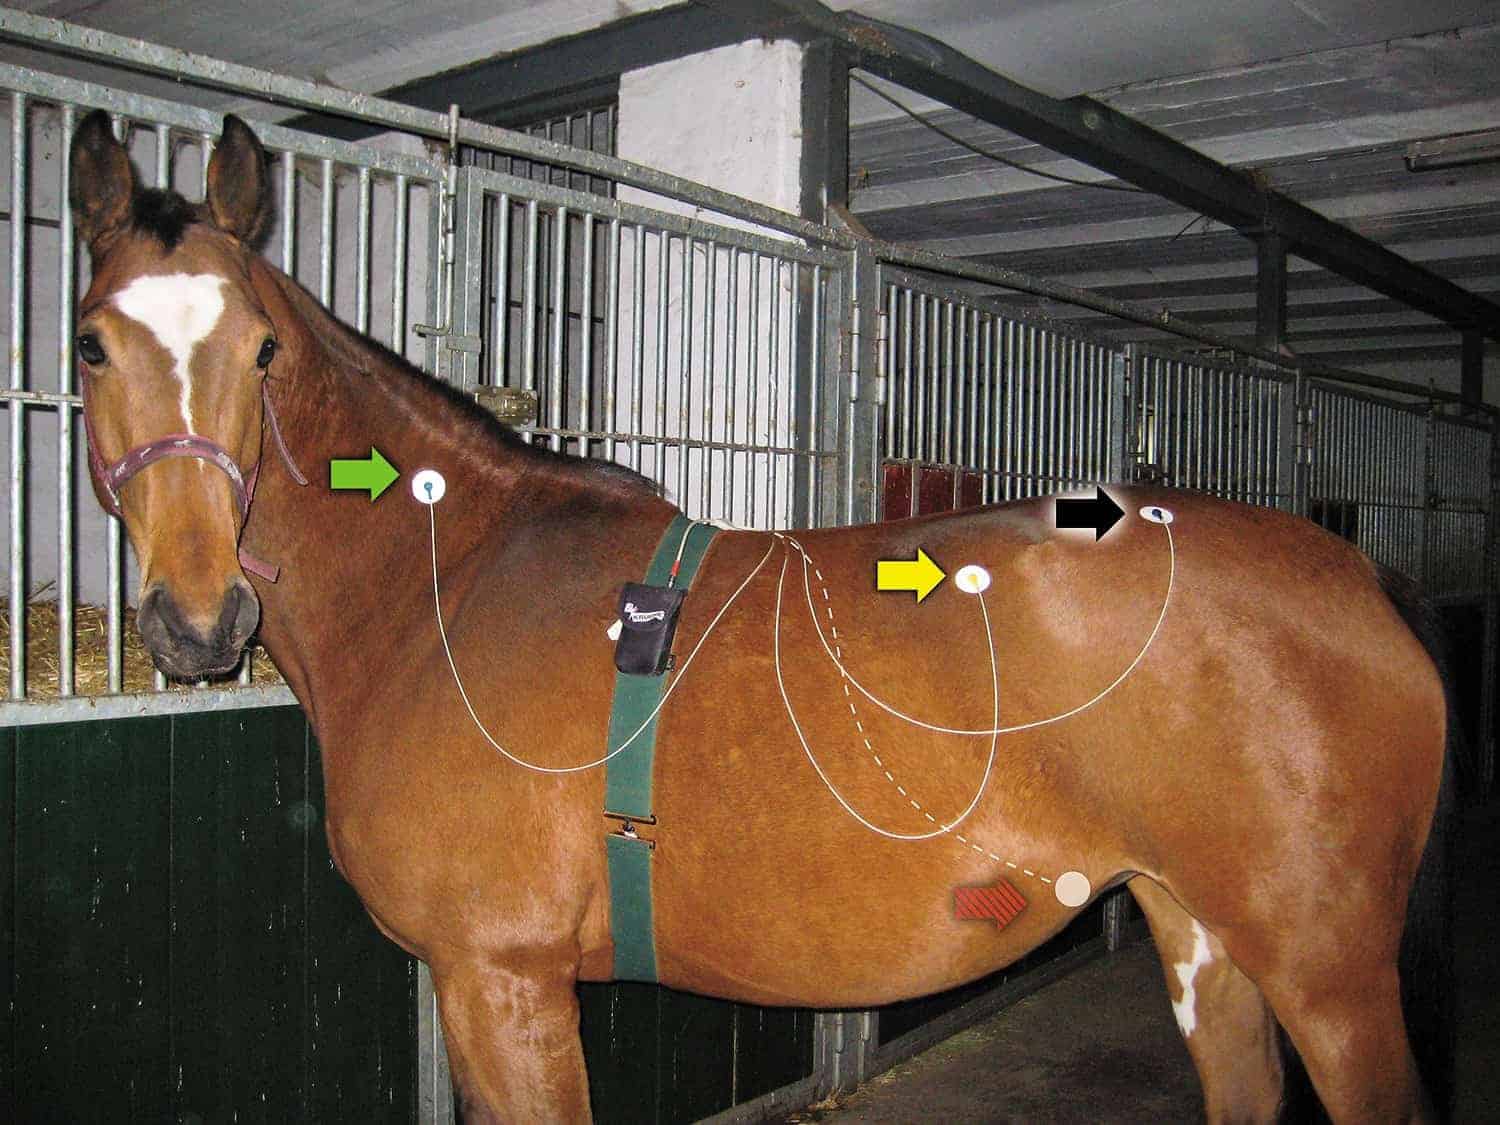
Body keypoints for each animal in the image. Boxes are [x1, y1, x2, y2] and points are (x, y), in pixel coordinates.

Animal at [67, 110, 1455, 1123]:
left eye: (259, 351)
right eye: (89, 344)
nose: (198, 618)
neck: (443, 587)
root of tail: (1362, 586)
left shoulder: (499, 983)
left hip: (1328, 973)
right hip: (1201, 934)